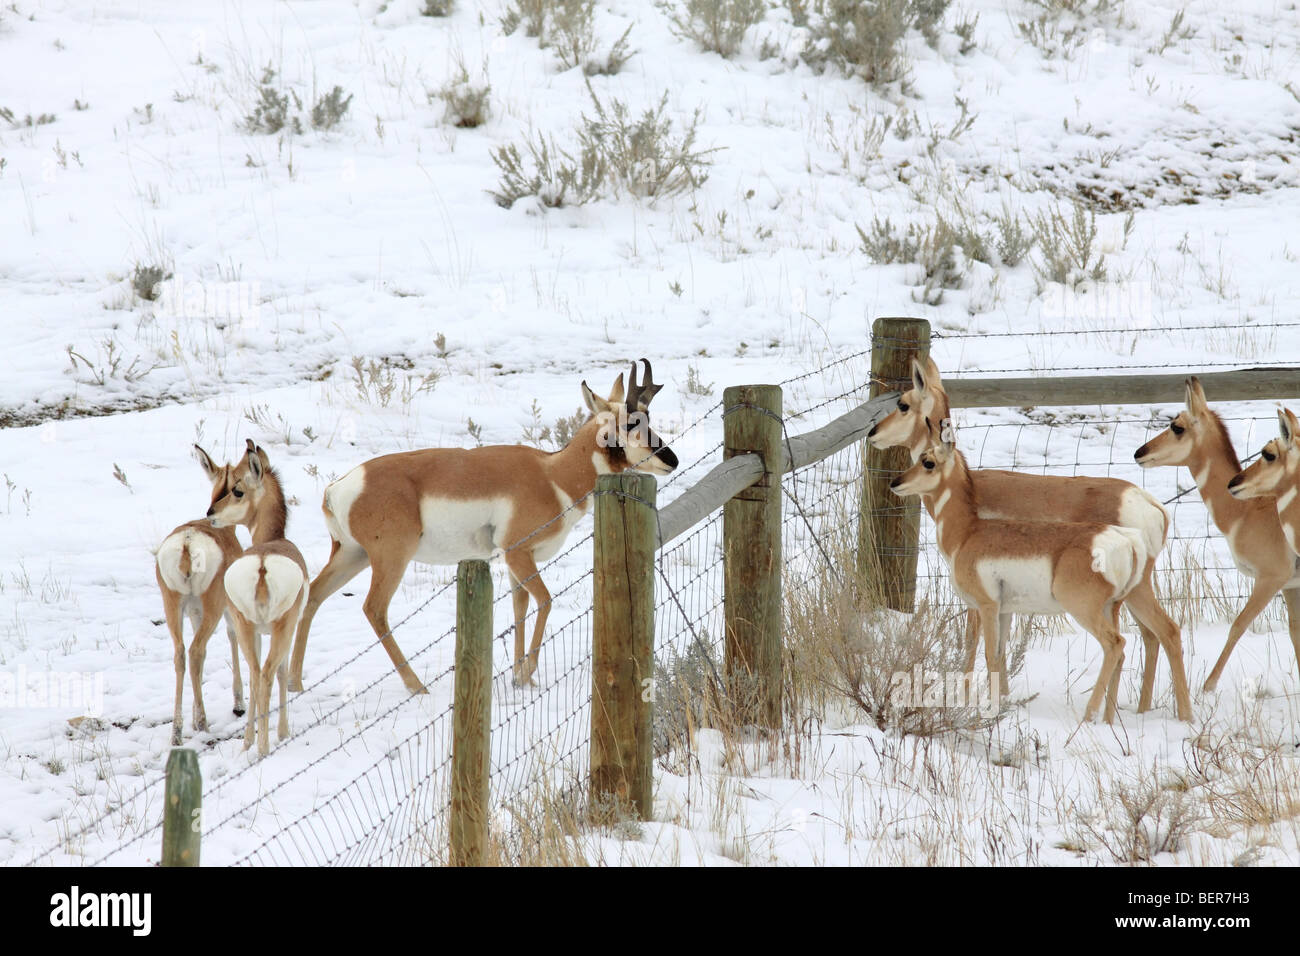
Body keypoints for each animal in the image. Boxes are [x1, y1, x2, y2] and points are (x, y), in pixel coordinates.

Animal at [155, 446, 250, 745]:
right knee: (196, 651)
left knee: (182, 654)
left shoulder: (195, 612)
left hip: (173, 606)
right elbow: (233, 636)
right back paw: (202, 724)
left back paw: (177, 733)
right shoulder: (229, 607)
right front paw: (238, 704)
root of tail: (188, 543)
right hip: (213, 607)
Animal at [207, 440, 309, 756]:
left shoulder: (255, 631)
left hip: (246, 628)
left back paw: (250, 743)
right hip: (278, 629)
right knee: (265, 674)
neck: (272, 540)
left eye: (237, 489)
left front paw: (250, 739)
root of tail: (263, 565)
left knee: (255, 671)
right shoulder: (282, 631)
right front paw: (283, 733)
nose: (210, 513)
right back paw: (264, 747)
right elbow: (282, 673)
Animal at [290, 359, 678, 691]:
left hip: (352, 555)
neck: (552, 474)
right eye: (629, 423)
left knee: (314, 597)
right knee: (374, 609)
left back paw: (295, 684)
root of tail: (338, 487)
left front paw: (520, 677)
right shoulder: (518, 552)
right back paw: (417, 686)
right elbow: (545, 601)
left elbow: (520, 606)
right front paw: (528, 673)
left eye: (649, 417)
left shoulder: (514, 560)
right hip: (390, 558)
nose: (671, 460)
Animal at [892, 438, 1148, 723]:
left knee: (1115, 645)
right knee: (1121, 653)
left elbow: (989, 656)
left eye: (928, 462)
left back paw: (1088, 716)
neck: (967, 533)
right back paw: (1108, 720)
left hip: (1085, 610)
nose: (895, 482)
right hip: (1110, 608)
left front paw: (989, 711)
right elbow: (1000, 655)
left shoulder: (987, 607)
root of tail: (1125, 540)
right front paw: (1001, 704)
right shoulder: (1005, 611)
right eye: (918, 456)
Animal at [1135, 379, 1300, 691]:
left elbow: (1238, 625)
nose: (1139, 452)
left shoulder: (1270, 578)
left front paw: (1208, 685)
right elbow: (1294, 631)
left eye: (1177, 426)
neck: (1246, 512)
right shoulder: (1289, 585)